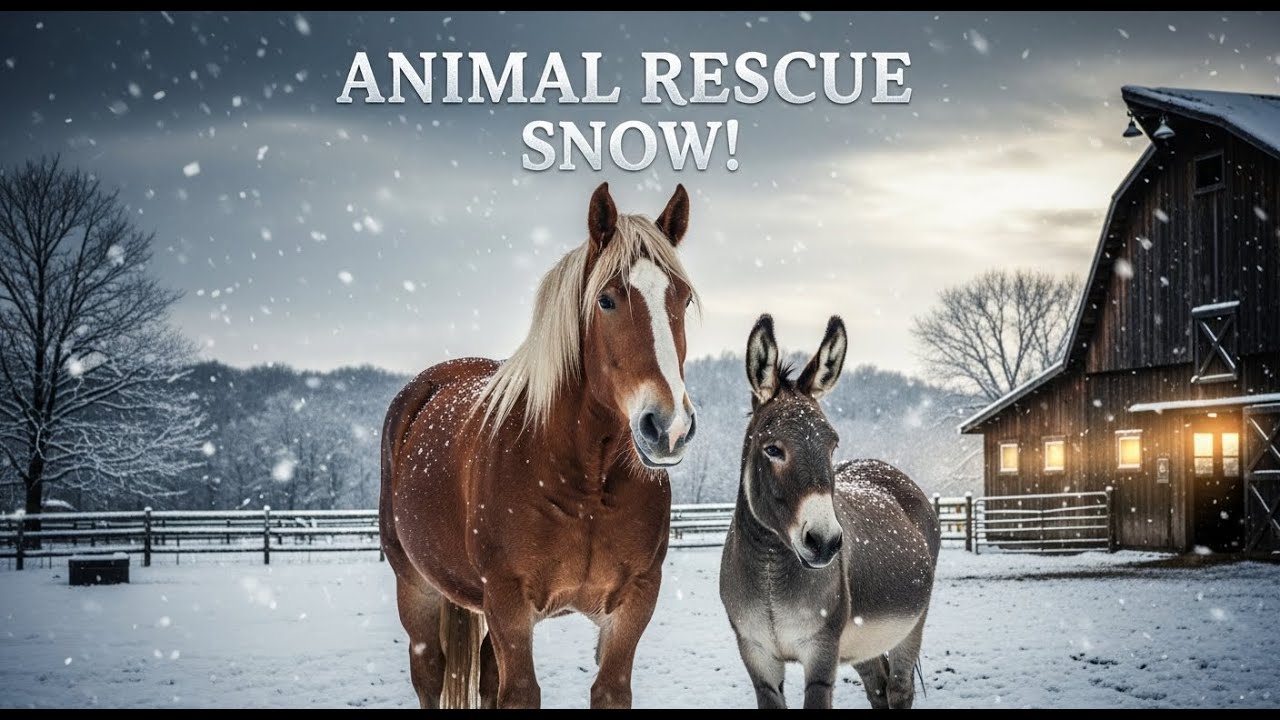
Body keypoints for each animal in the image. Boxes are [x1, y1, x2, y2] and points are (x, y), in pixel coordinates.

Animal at [380, 182, 699, 709]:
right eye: (606, 300)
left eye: (684, 299)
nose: (667, 426)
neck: (587, 482)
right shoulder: (509, 601)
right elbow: (520, 693)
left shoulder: (634, 601)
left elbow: (609, 690)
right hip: (416, 588)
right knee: (429, 674)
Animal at [719, 314, 941, 709]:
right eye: (773, 449)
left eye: (832, 445)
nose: (823, 542)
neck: (770, 568)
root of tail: (885, 467)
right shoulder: (757, 656)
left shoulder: (821, 653)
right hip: (860, 642)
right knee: (878, 686)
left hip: (912, 625)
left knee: (899, 688)